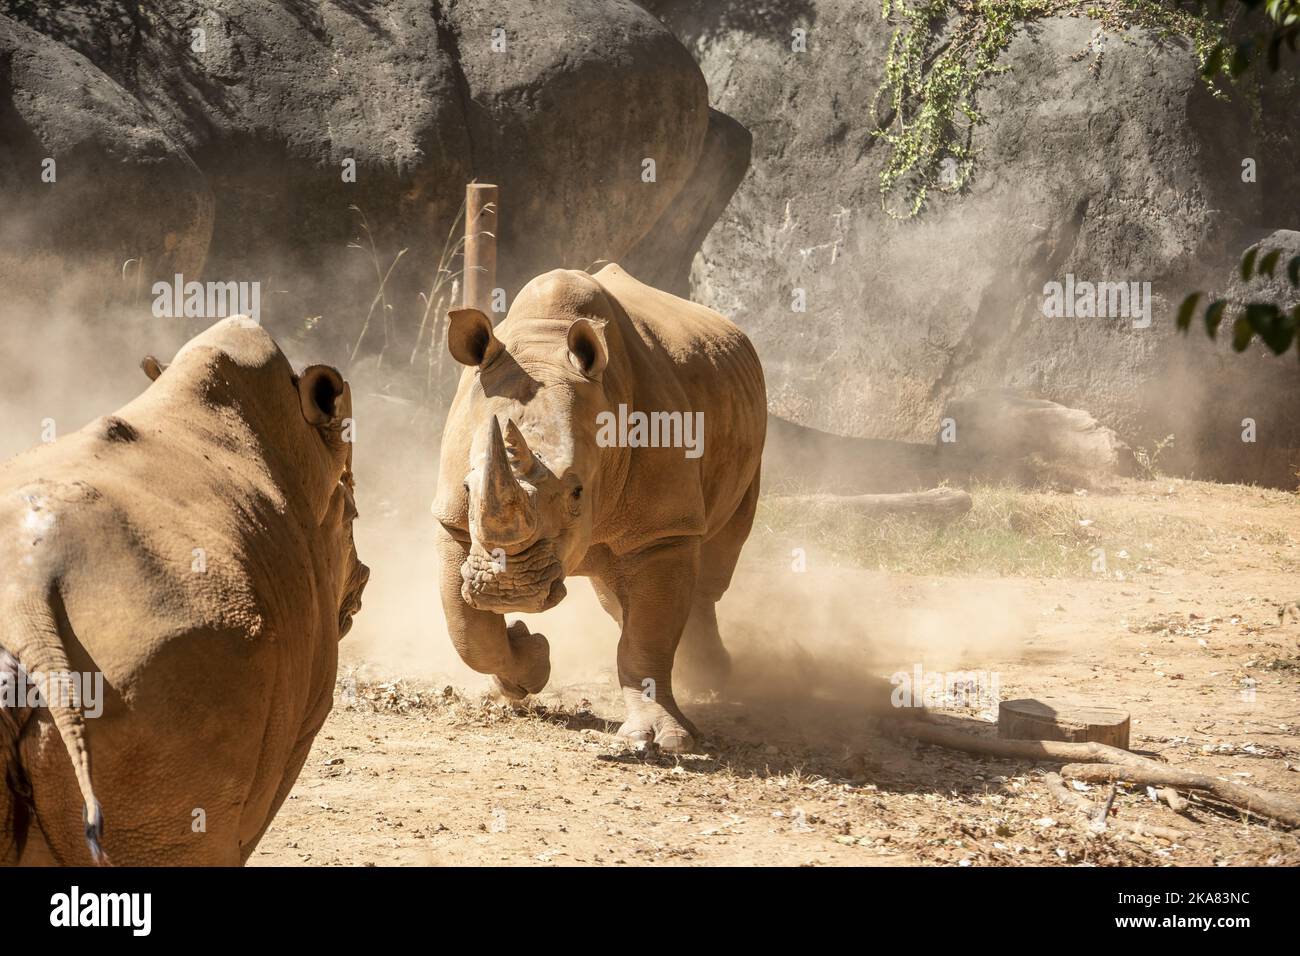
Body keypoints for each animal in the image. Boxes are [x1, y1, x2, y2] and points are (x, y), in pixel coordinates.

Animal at [433, 264, 766, 752]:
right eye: (466, 486)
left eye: (576, 492)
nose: (507, 592)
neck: (544, 344)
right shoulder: (454, 522)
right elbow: (467, 632)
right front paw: (527, 662)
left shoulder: (663, 530)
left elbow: (648, 635)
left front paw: (663, 740)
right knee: (615, 588)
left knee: (716, 561)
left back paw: (710, 678)